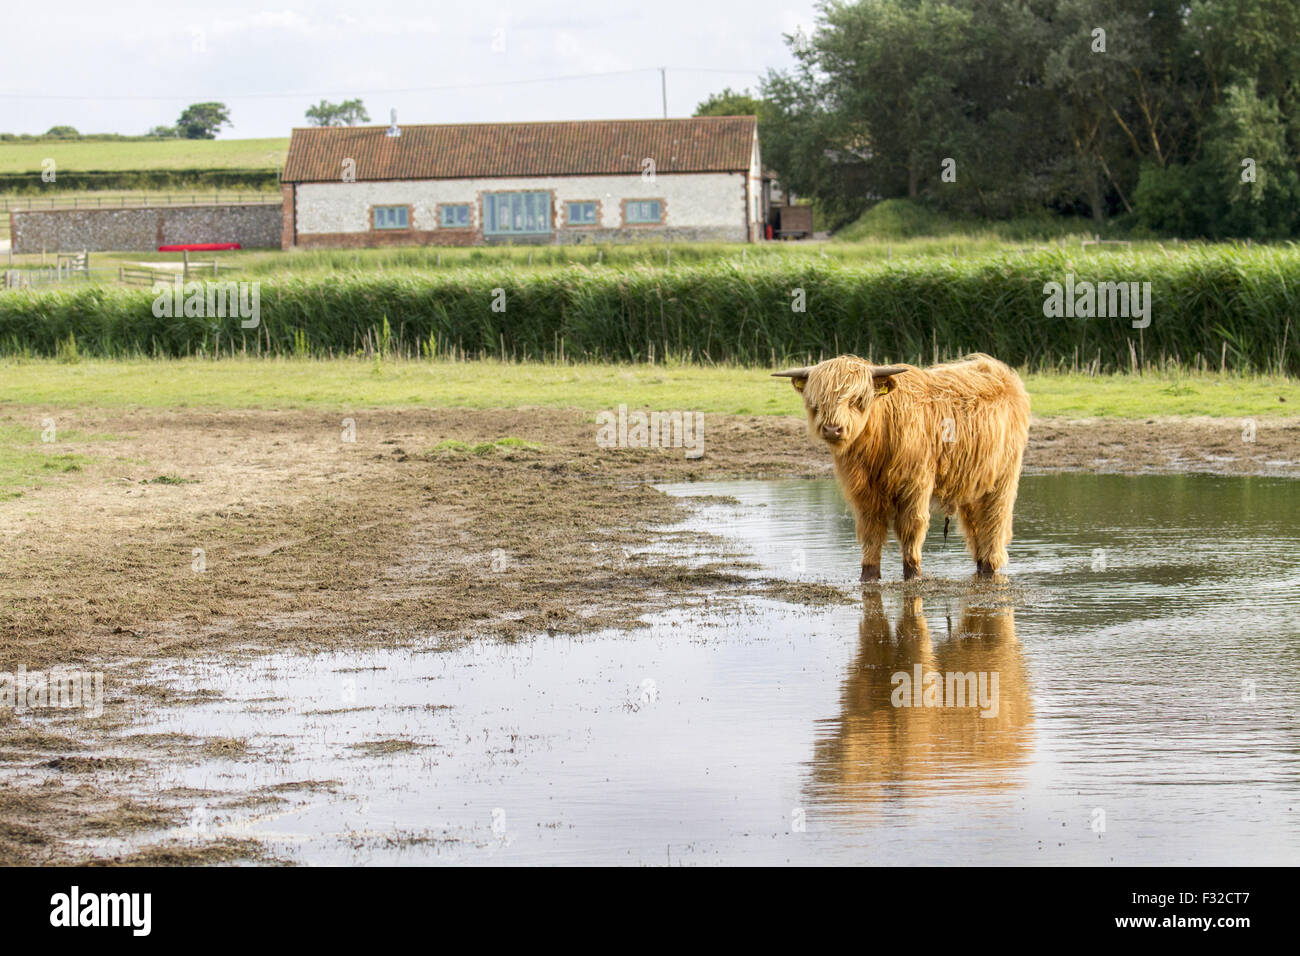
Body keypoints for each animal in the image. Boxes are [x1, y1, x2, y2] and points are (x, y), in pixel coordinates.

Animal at [774, 353, 1030, 582]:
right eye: (816, 403)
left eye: (857, 400)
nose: (832, 429)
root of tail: (1000, 372)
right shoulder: (864, 494)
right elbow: (871, 532)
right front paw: (868, 576)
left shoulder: (914, 486)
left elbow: (911, 529)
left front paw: (913, 574)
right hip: (972, 483)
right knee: (976, 527)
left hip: (1003, 479)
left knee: (994, 522)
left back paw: (989, 567)